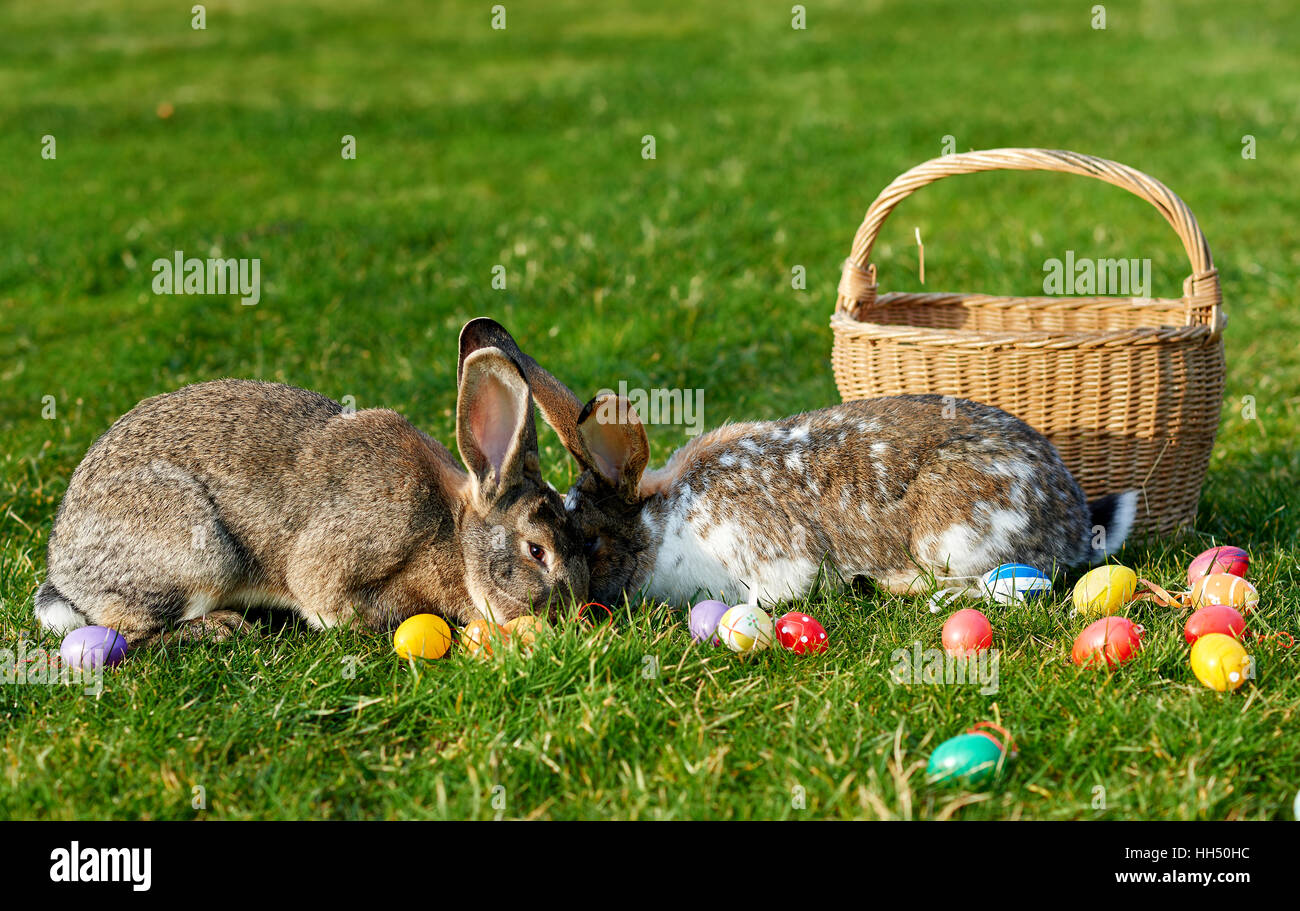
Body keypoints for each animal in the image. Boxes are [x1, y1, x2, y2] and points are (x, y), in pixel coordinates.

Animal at [33, 339, 589, 646]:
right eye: (536, 550)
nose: (575, 616)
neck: (452, 533)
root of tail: (64, 569)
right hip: (199, 552)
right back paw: (220, 627)